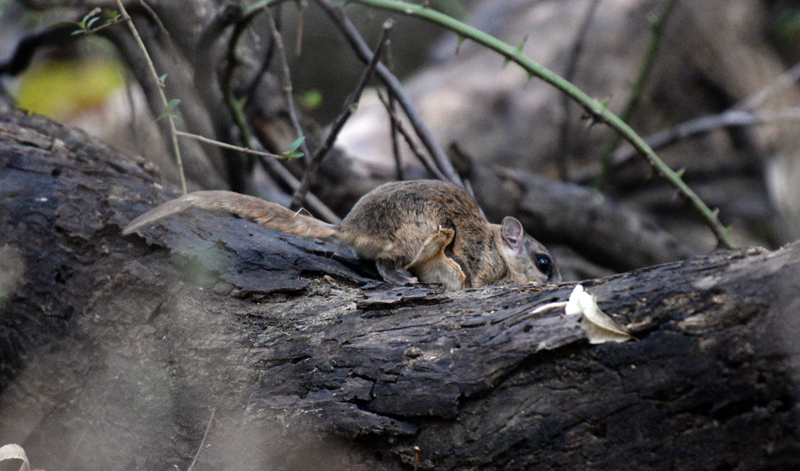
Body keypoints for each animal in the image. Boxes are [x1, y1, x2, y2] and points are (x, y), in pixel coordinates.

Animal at [123, 179, 560, 290]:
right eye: (544, 262)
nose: (560, 282)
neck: (496, 245)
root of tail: (349, 227)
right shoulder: (480, 263)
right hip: (421, 235)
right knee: (385, 262)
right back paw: (401, 278)